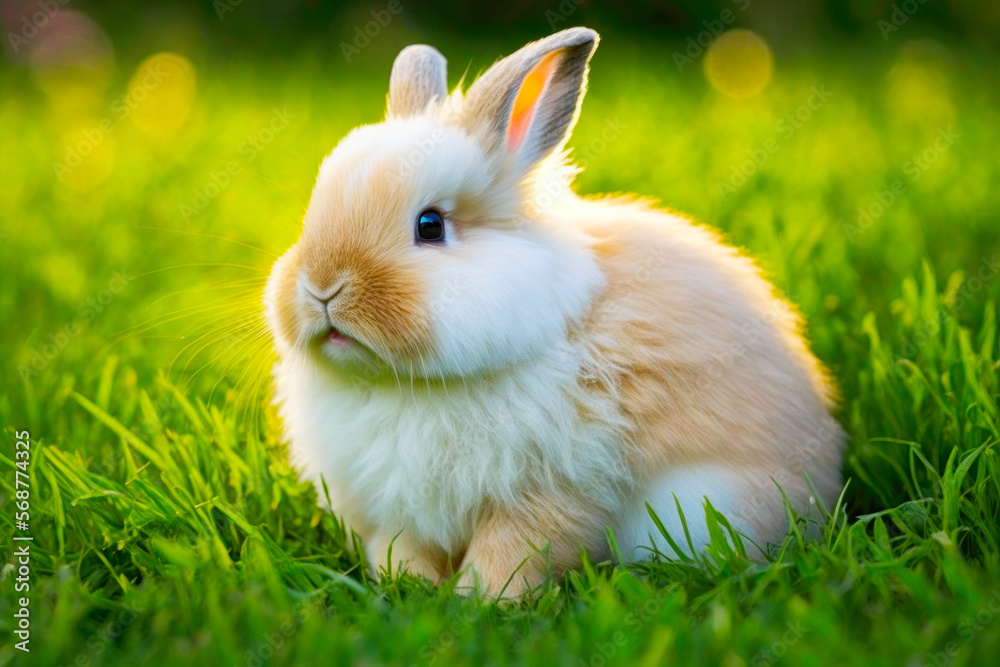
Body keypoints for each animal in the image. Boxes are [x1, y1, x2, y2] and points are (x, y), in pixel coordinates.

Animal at [263, 27, 845, 597]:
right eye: (312, 215)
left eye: (430, 226)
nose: (322, 288)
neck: (404, 387)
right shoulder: (400, 510)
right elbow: (403, 547)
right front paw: (406, 585)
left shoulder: (553, 491)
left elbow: (513, 552)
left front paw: (481, 600)